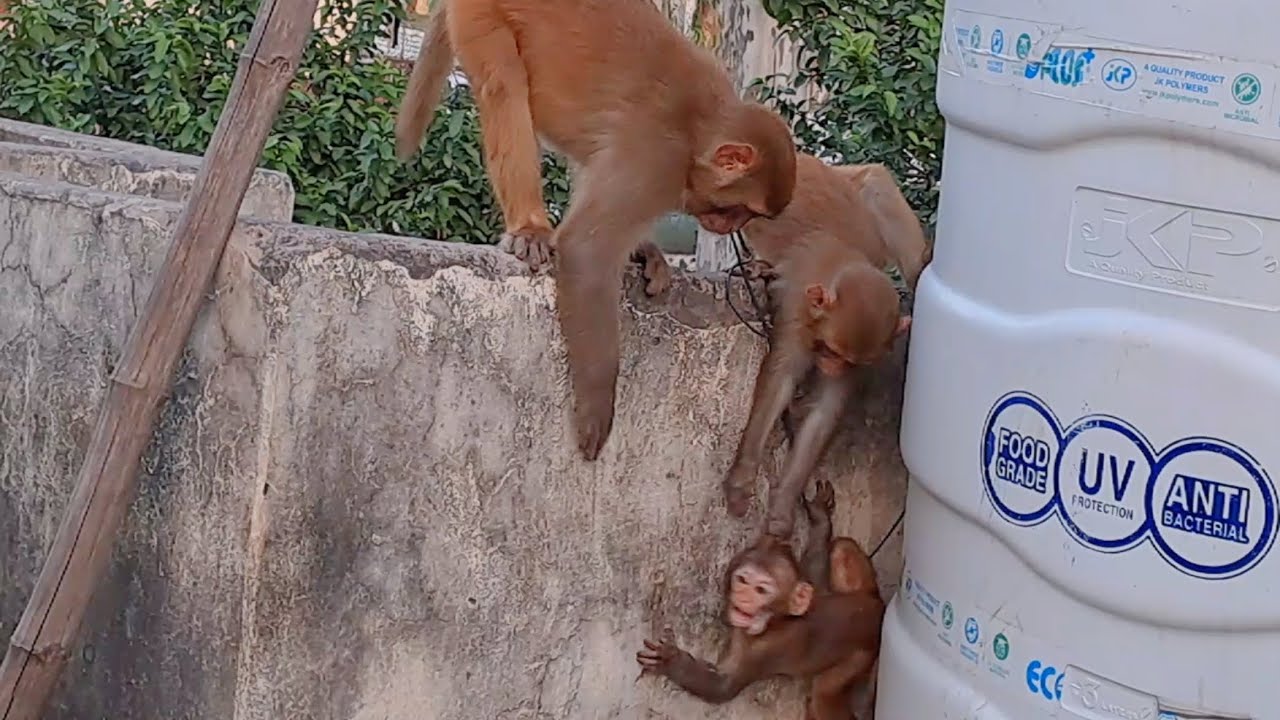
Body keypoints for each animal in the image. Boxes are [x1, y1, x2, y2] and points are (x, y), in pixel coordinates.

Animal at [394, 0, 798, 461]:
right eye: (739, 210)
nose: (731, 226)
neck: (699, 133)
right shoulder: (656, 158)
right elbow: (588, 251)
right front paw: (597, 406)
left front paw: (643, 249)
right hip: (478, 12)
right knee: (504, 84)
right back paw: (530, 226)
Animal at [637, 480, 884, 719]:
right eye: (743, 580)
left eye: (761, 590)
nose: (743, 596)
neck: (775, 619)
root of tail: (877, 609)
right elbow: (813, 573)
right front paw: (819, 515)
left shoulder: (761, 650)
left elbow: (723, 688)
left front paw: (670, 661)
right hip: (864, 589)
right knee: (842, 545)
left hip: (861, 657)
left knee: (821, 698)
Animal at [721, 155, 928, 537]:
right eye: (830, 352)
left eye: (845, 361)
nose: (831, 367)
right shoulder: (797, 312)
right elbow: (781, 379)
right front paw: (742, 479)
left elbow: (824, 410)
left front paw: (784, 506)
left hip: (847, 178)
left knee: (875, 180)